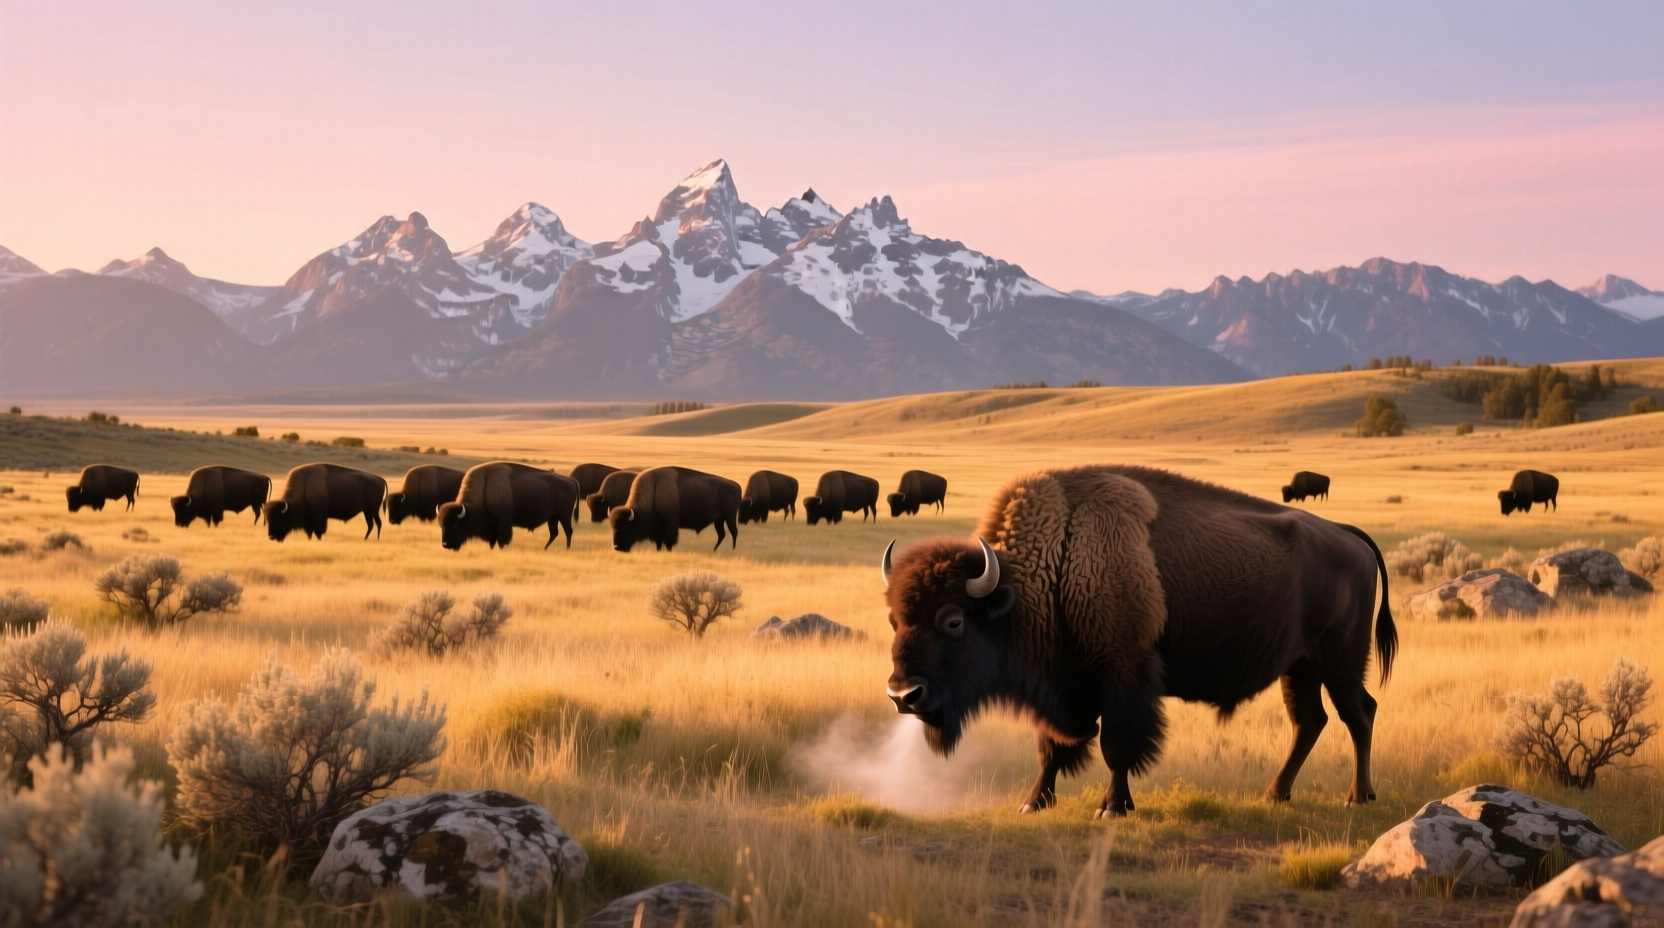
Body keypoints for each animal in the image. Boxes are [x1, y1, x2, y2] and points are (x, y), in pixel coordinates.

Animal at [438, 462, 580, 550]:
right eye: (441, 525)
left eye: (455, 524)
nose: (445, 544)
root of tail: (571, 480)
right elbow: (493, 541)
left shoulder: (503, 523)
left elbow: (502, 540)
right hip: (553, 517)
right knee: (554, 533)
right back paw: (544, 549)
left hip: (564, 515)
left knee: (568, 531)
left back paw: (566, 549)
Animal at [608, 466, 741, 552]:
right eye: (612, 527)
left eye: (626, 525)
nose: (616, 547)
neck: (654, 490)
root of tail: (736, 485)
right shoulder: (658, 528)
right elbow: (659, 542)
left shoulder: (671, 522)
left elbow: (669, 542)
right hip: (719, 520)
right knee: (722, 534)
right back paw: (714, 550)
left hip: (730, 517)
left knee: (734, 532)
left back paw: (732, 550)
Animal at [881, 465, 1395, 819]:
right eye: (894, 619)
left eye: (953, 622)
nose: (904, 695)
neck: (1057, 562)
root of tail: (1348, 536)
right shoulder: (1063, 684)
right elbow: (1051, 747)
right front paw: (1033, 803)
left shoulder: (1122, 676)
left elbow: (1117, 746)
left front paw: (1111, 807)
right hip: (1300, 666)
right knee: (1310, 722)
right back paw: (1274, 794)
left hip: (1340, 660)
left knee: (1359, 714)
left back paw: (1358, 797)